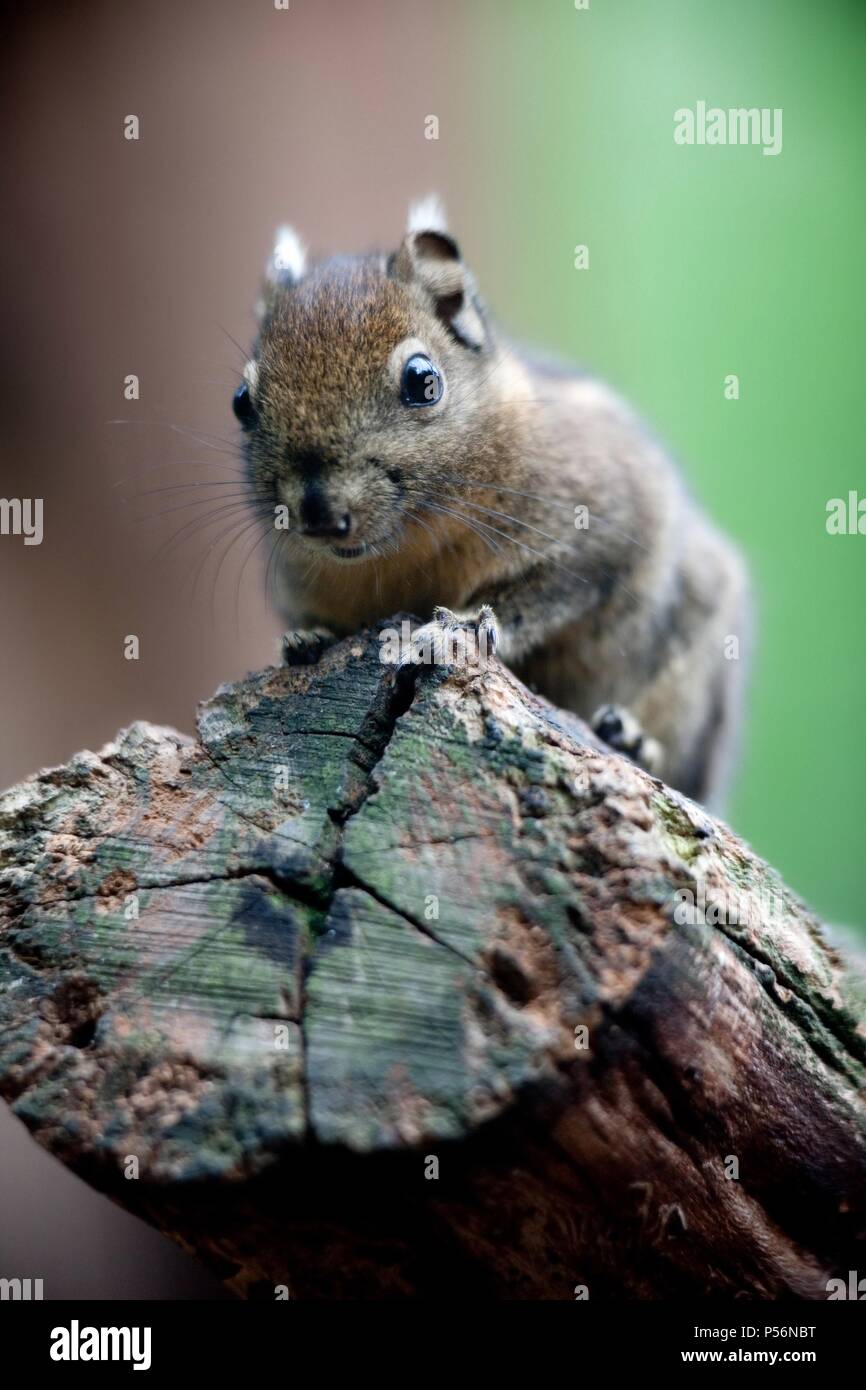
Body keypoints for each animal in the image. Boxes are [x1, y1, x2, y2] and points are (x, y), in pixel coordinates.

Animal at [234, 198, 750, 809]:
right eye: (241, 401)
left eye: (422, 380)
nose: (317, 514)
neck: (411, 544)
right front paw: (308, 638)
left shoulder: (607, 524)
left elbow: (553, 589)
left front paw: (459, 627)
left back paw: (633, 737)